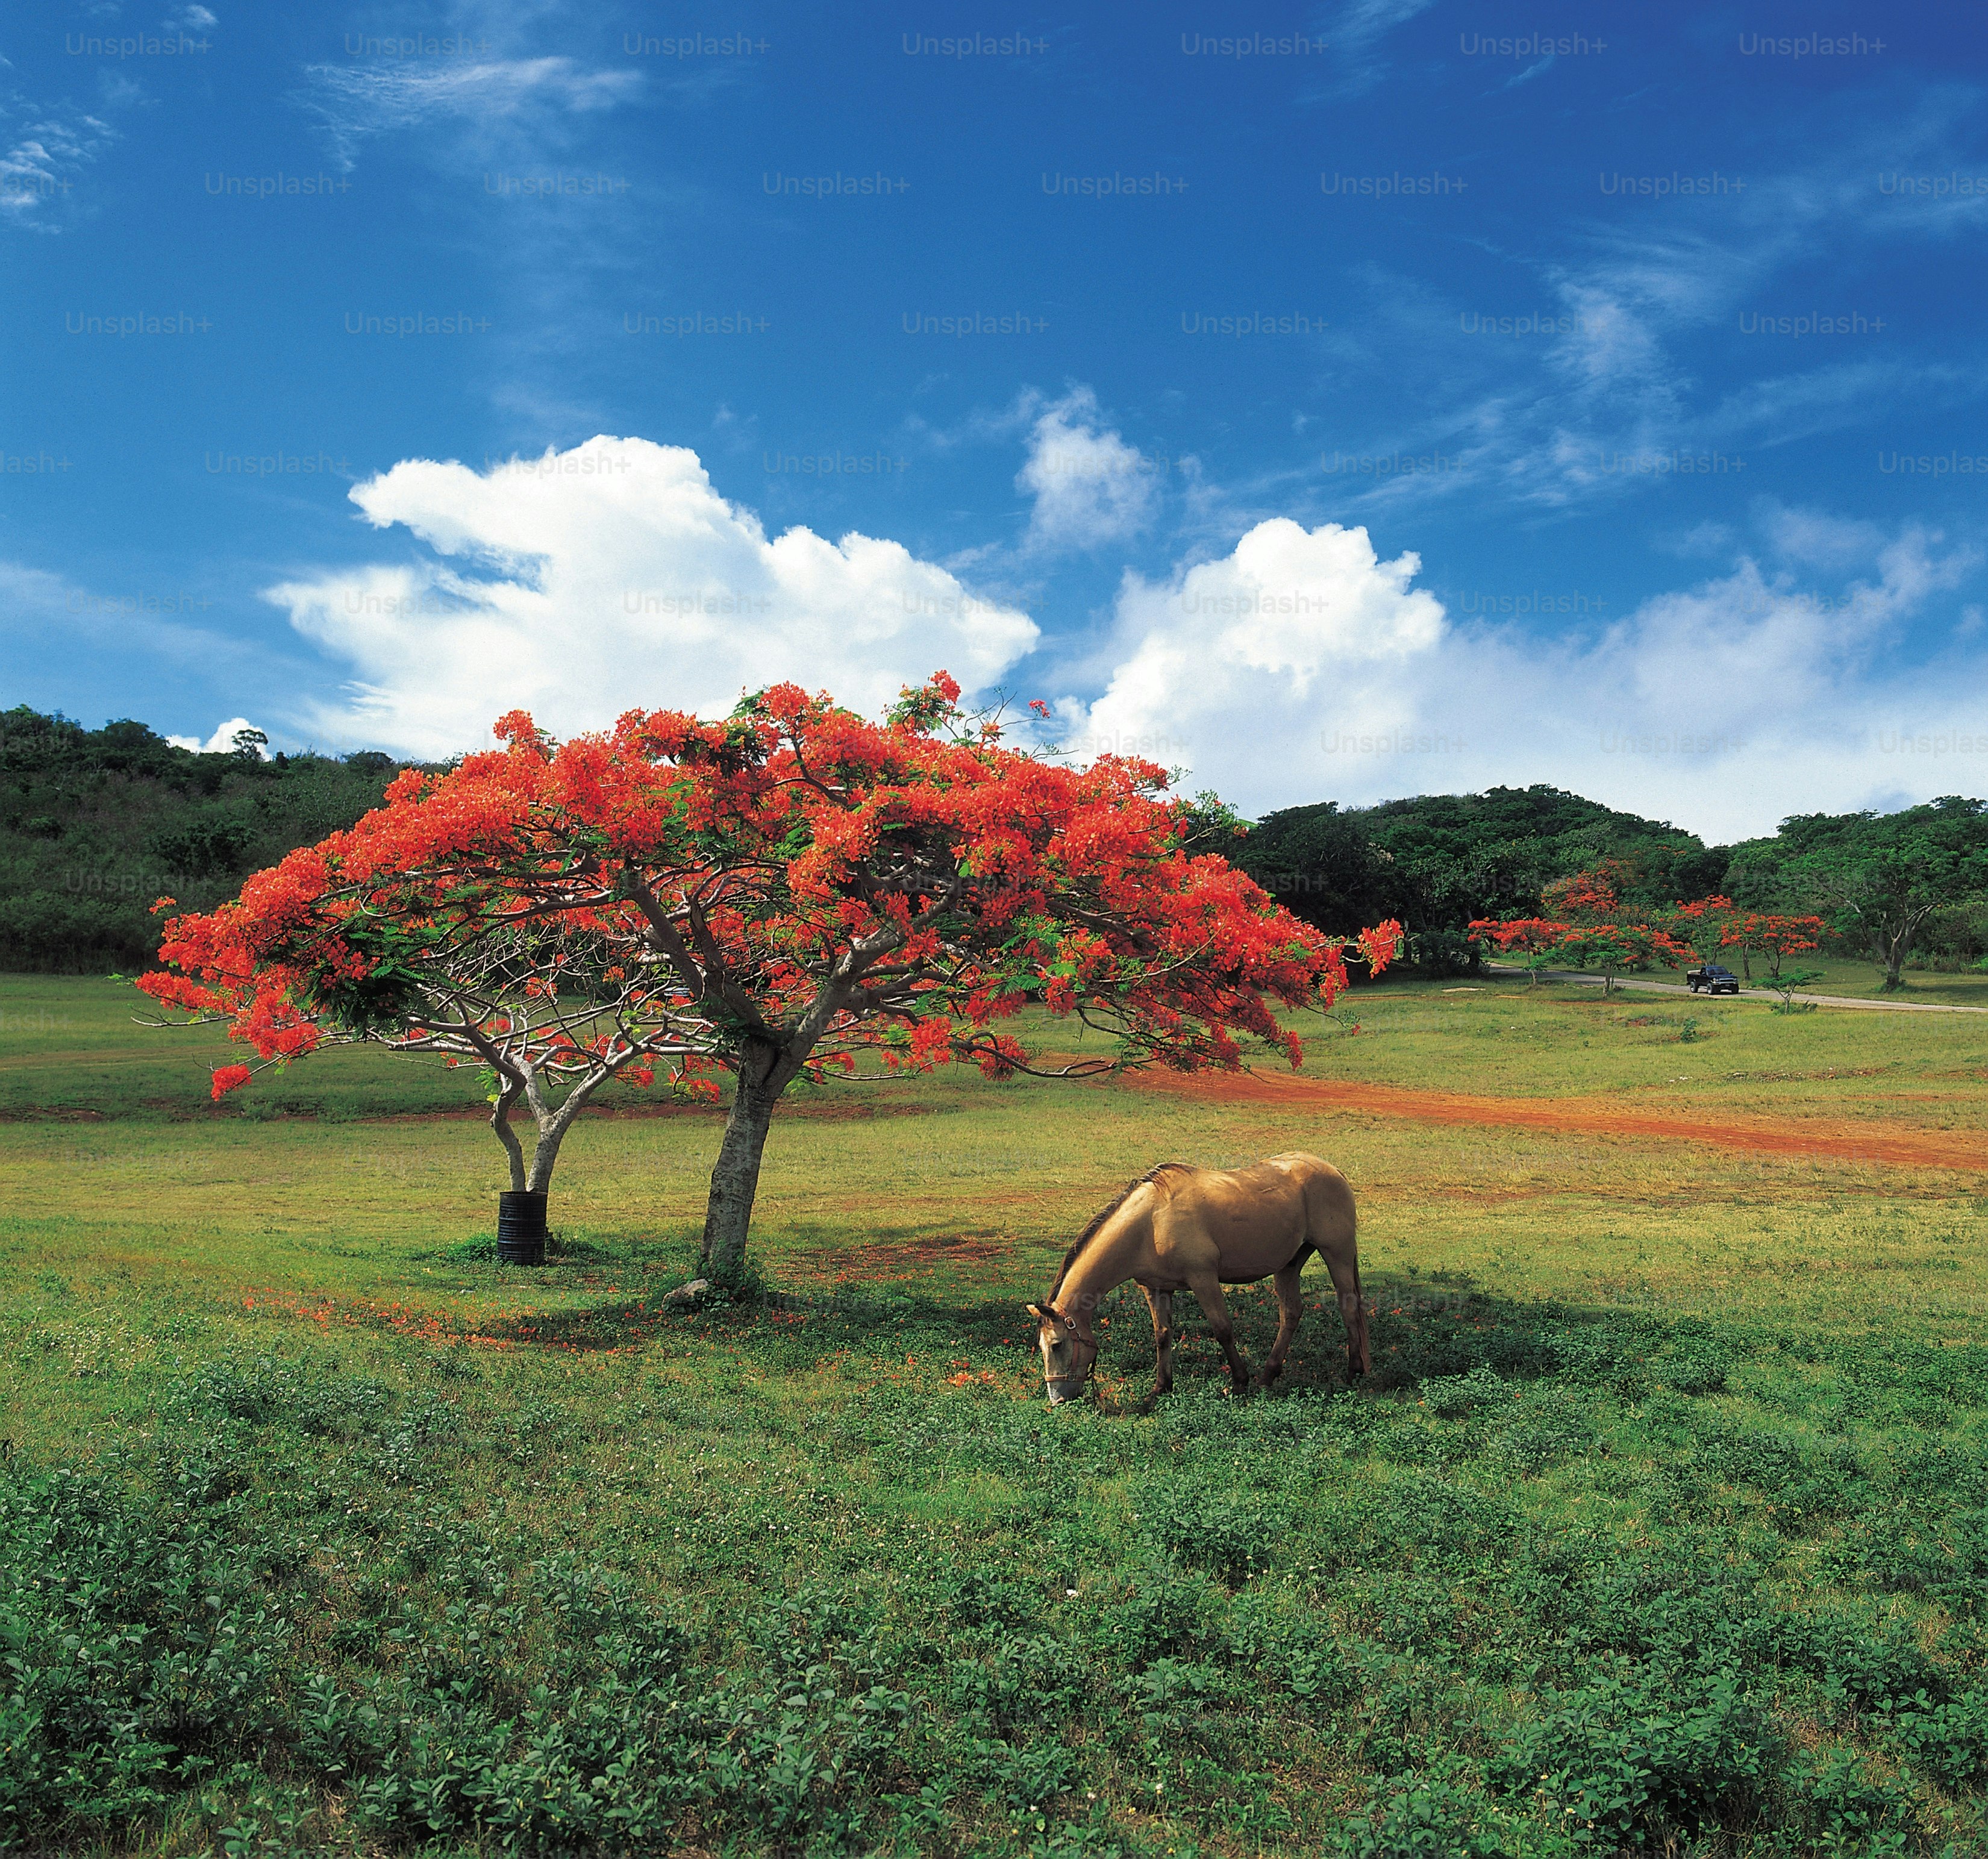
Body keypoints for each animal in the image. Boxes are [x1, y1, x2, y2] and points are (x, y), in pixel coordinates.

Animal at [1025, 1153, 1369, 1405]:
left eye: (1056, 1345)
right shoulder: (1155, 1288)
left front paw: (1239, 1383)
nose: (1057, 1399)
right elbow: (1162, 1335)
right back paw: (1268, 1375)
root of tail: (1333, 1171)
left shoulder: (1204, 1279)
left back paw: (1354, 1372)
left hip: (1336, 1254)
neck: (1149, 1223)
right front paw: (1161, 1387)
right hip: (1289, 1264)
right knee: (1291, 1314)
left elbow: (1223, 1329)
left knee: (1348, 1308)